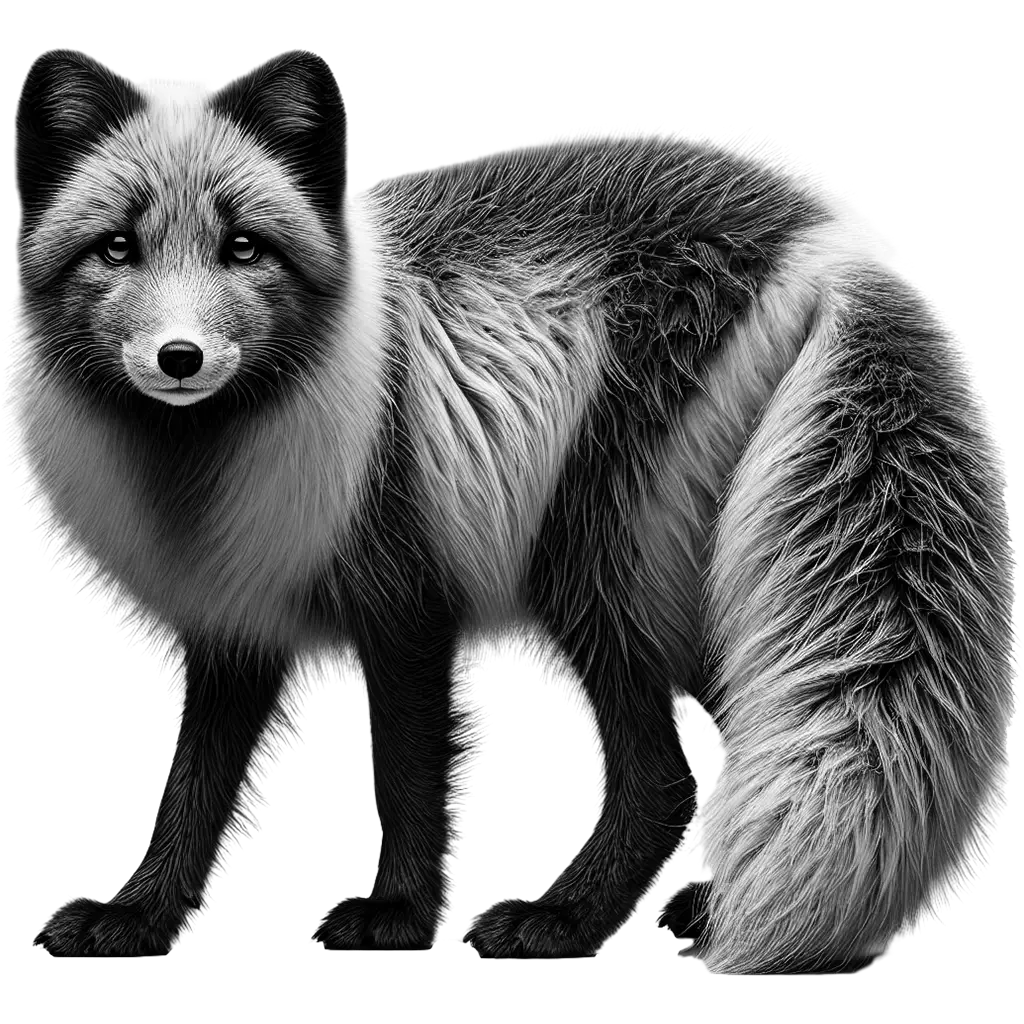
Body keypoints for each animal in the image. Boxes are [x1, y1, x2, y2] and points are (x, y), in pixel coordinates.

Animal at [5, 47, 1016, 973]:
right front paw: (140, 916)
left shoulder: (409, 609)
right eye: (118, 247)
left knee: (668, 778)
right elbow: (196, 792)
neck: (194, 474)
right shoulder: (230, 638)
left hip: (591, 571)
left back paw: (565, 920)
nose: (178, 357)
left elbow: (407, 773)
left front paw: (399, 917)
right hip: (722, 579)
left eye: (243, 246)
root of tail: (841, 241)